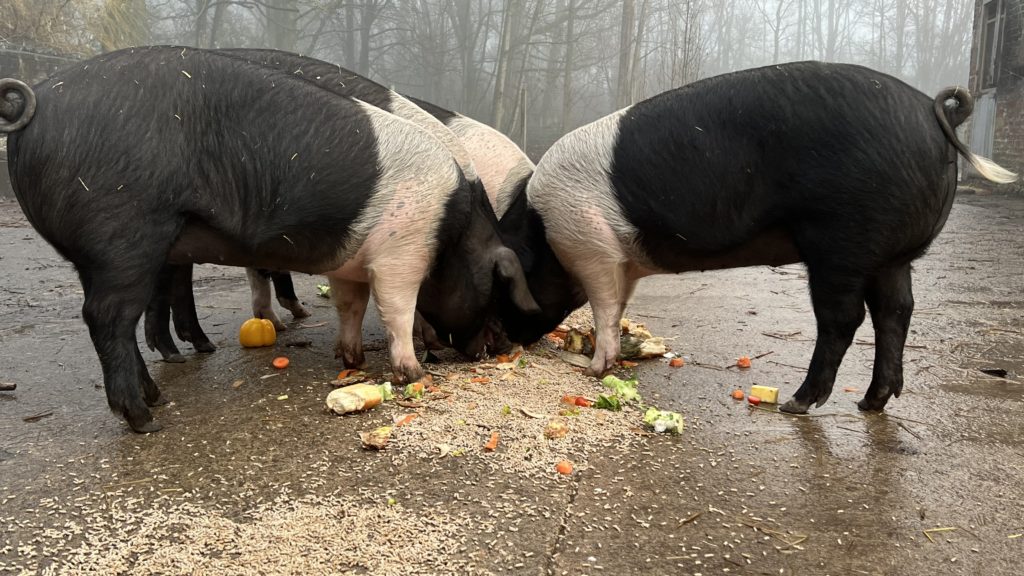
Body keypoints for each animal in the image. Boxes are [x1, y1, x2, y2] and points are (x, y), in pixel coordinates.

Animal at [494, 61, 1016, 415]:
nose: (505, 345)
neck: (542, 228)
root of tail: (931, 112)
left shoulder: (591, 246)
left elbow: (603, 305)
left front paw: (593, 370)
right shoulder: (623, 261)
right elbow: (619, 305)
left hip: (841, 244)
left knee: (843, 320)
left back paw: (797, 404)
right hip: (891, 257)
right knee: (897, 313)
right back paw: (871, 403)